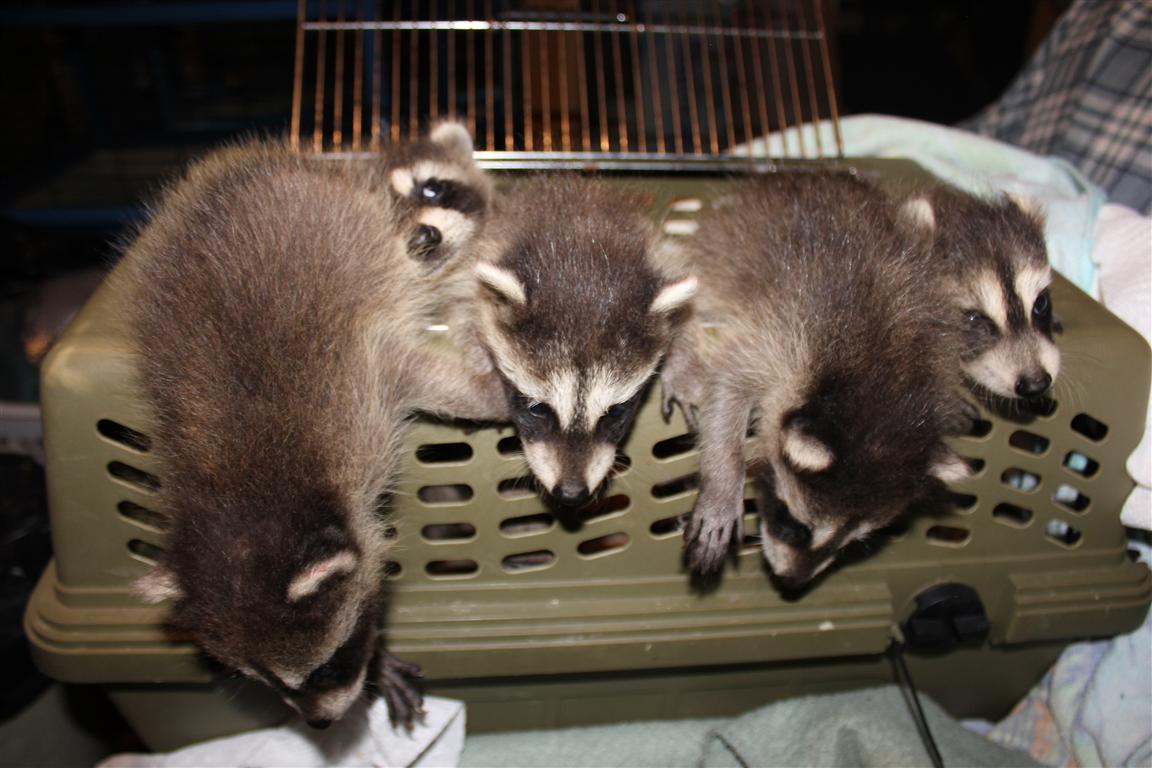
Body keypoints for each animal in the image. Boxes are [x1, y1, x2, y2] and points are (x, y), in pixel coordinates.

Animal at [123, 133, 505, 728]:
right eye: (262, 682)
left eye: (329, 664)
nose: (321, 724)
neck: (245, 497)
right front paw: (380, 659)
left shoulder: (363, 381)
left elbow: (432, 379)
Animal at [471, 176, 697, 506]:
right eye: (538, 408)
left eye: (615, 412)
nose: (571, 495)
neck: (583, 255)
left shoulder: (663, 256)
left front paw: (679, 370)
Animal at [669, 173, 969, 586]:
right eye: (797, 525)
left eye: (852, 542)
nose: (791, 583)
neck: (882, 377)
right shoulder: (782, 338)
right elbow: (726, 389)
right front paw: (724, 481)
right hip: (721, 250)